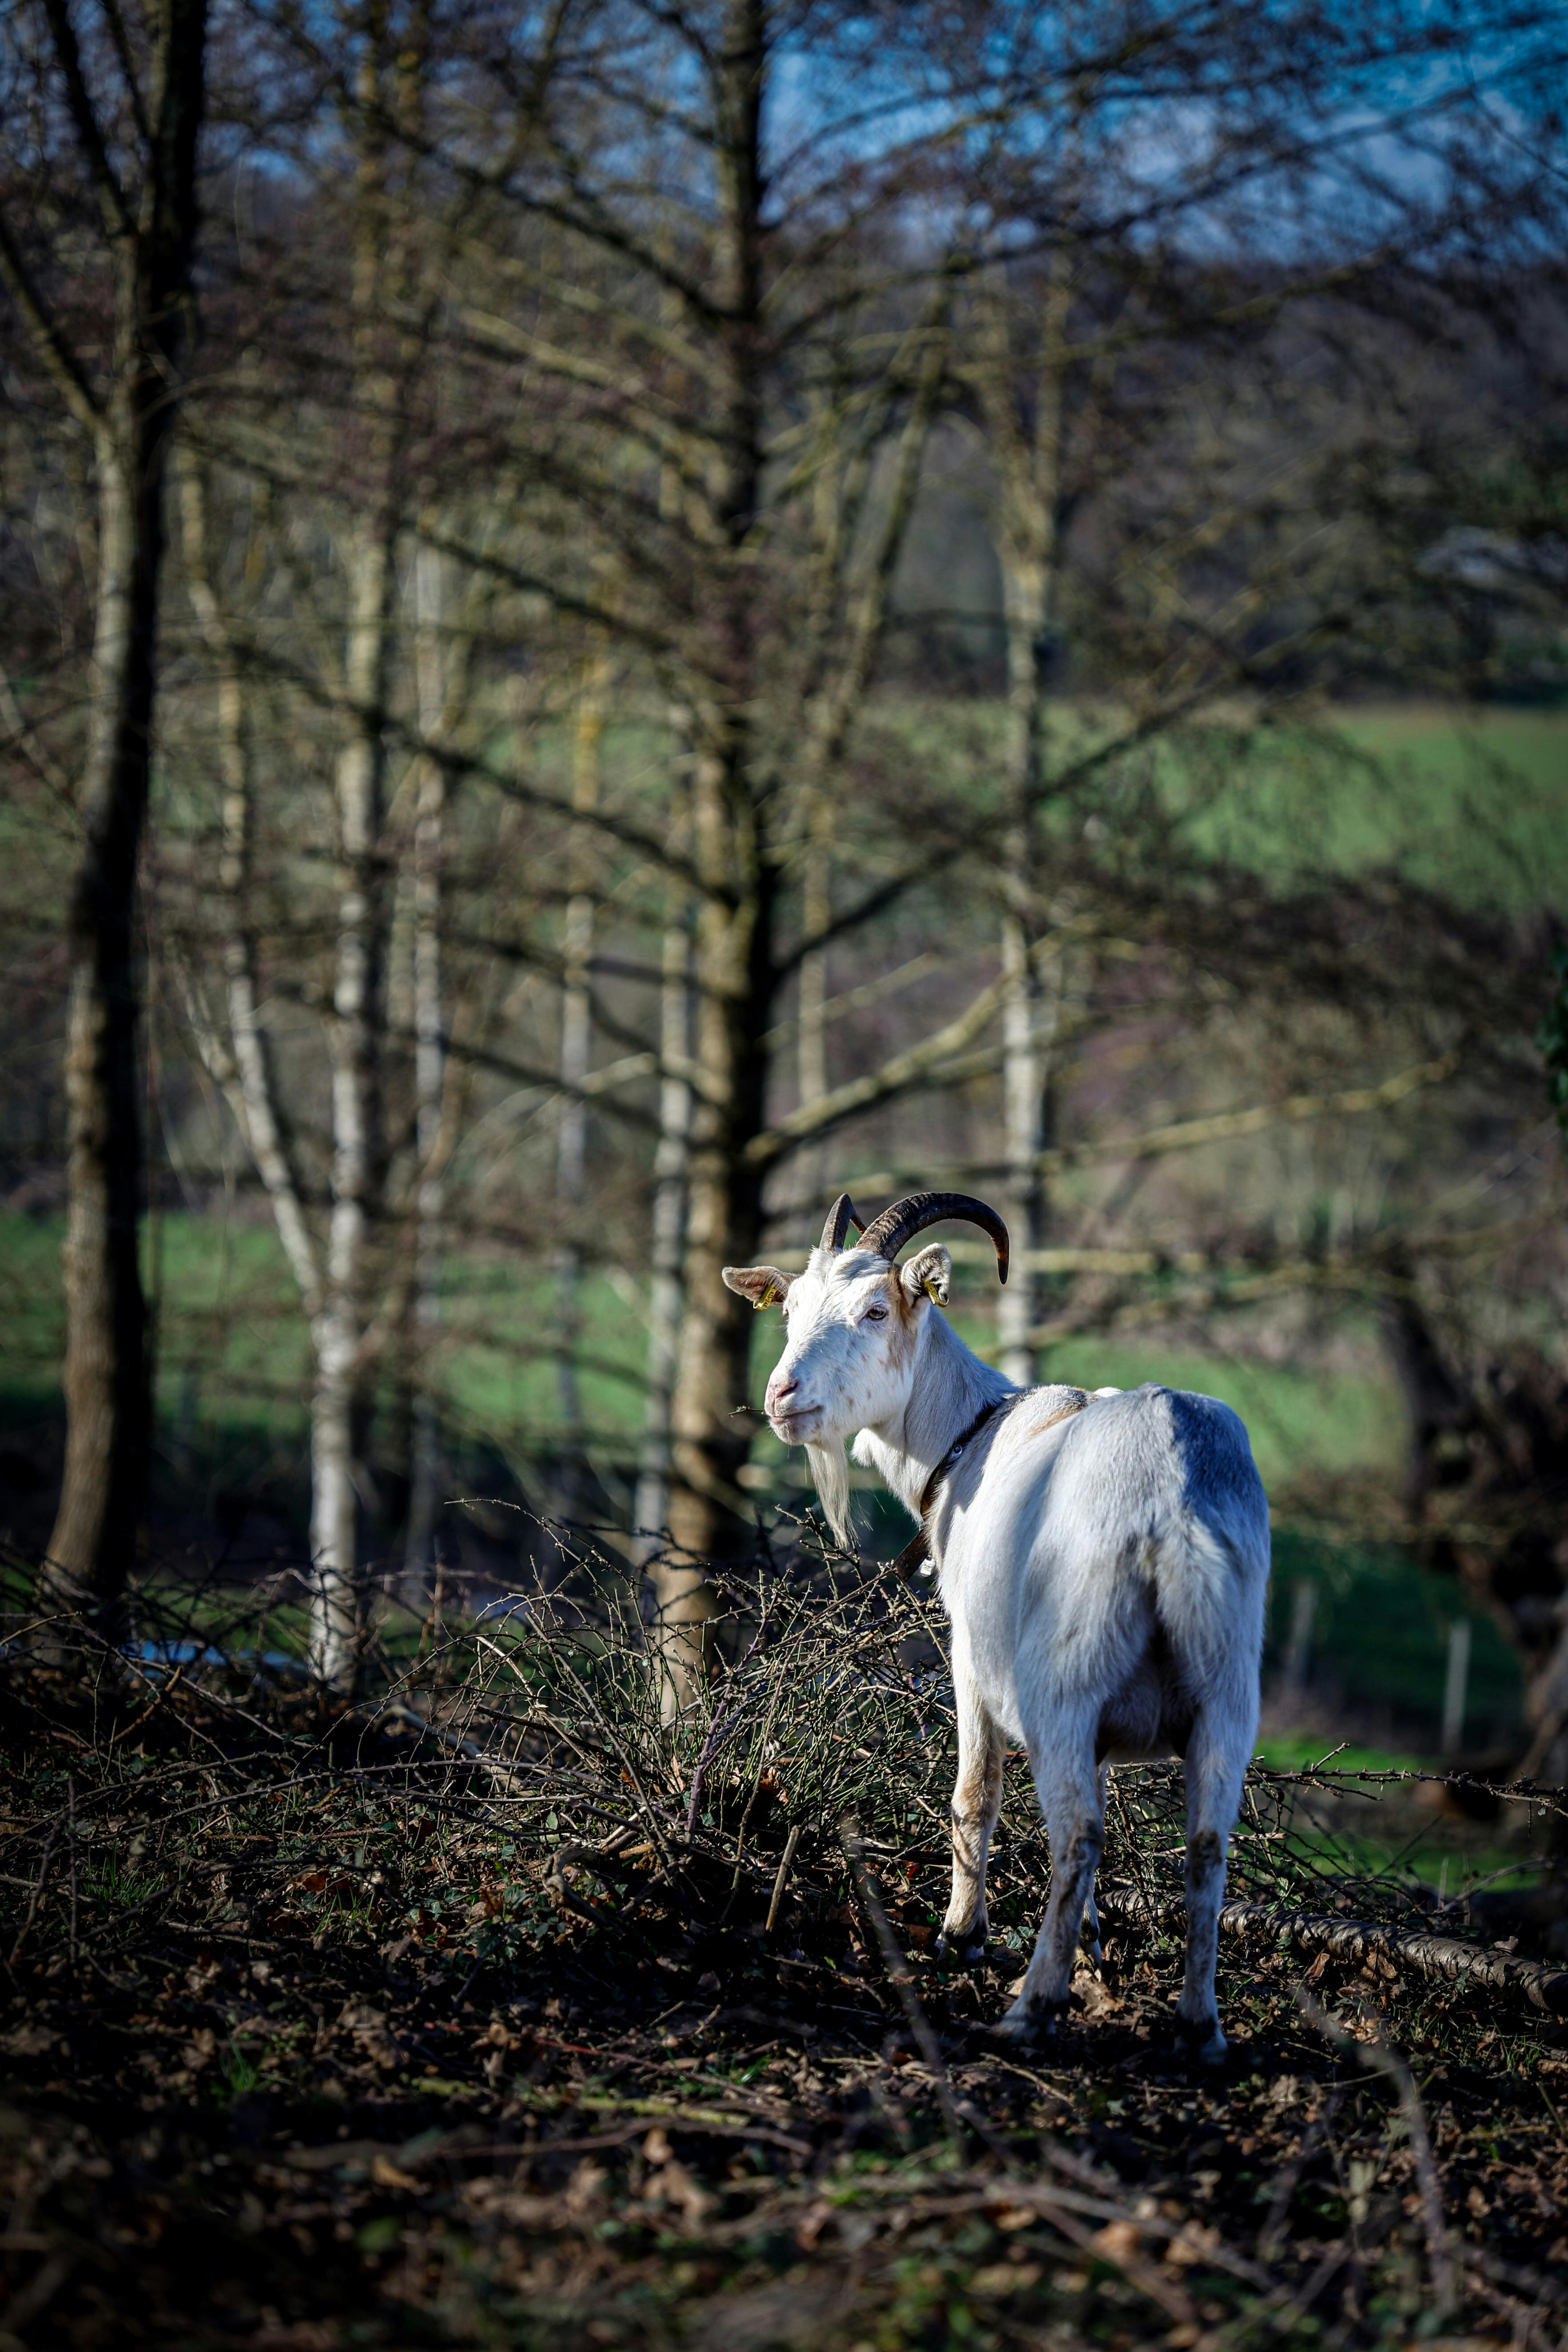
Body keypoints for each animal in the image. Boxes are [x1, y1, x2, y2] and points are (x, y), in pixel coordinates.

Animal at [724, 1188, 1270, 2061]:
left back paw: (1030, 2008)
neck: (967, 1436)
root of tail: (1169, 1498)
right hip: (1226, 1689)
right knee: (1205, 1843)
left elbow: (975, 1792)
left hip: (1062, 1683)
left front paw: (962, 1934)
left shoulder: (971, 1655)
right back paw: (1198, 2027)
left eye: (875, 1309)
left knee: (1077, 1831)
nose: (782, 1395)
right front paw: (1087, 1939)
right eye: (791, 1308)